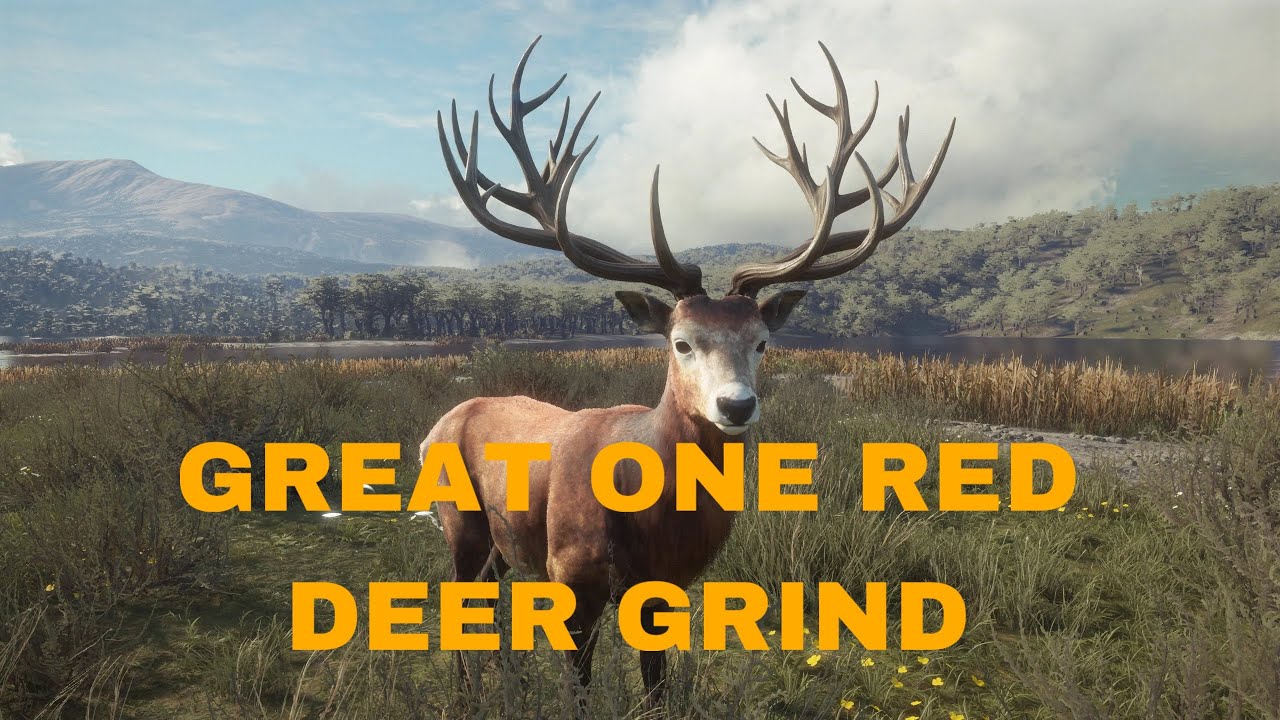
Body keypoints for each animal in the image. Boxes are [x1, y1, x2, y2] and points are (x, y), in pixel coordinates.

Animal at [421, 36, 954, 713]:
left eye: (762, 342)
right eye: (681, 342)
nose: (736, 406)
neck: (652, 517)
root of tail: (438, 423)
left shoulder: (667, 587)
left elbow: (656, 685)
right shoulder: (573, 574)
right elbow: (580, 691)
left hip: (502, 544)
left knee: (488, 604)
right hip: (458, 519)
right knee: (458, 601)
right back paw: (468, 693)